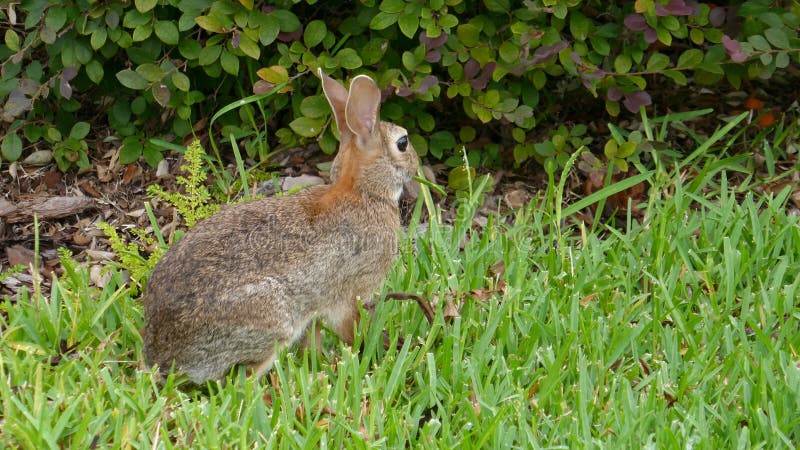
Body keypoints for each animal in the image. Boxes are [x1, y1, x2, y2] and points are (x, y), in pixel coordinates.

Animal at [142, 69, 419, 383]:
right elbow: (350, 329)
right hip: (273, 320)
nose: (416, 164)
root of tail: (163, 356)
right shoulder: (349, 296)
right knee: (246, 379)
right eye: (402, 143)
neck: (363, 192)